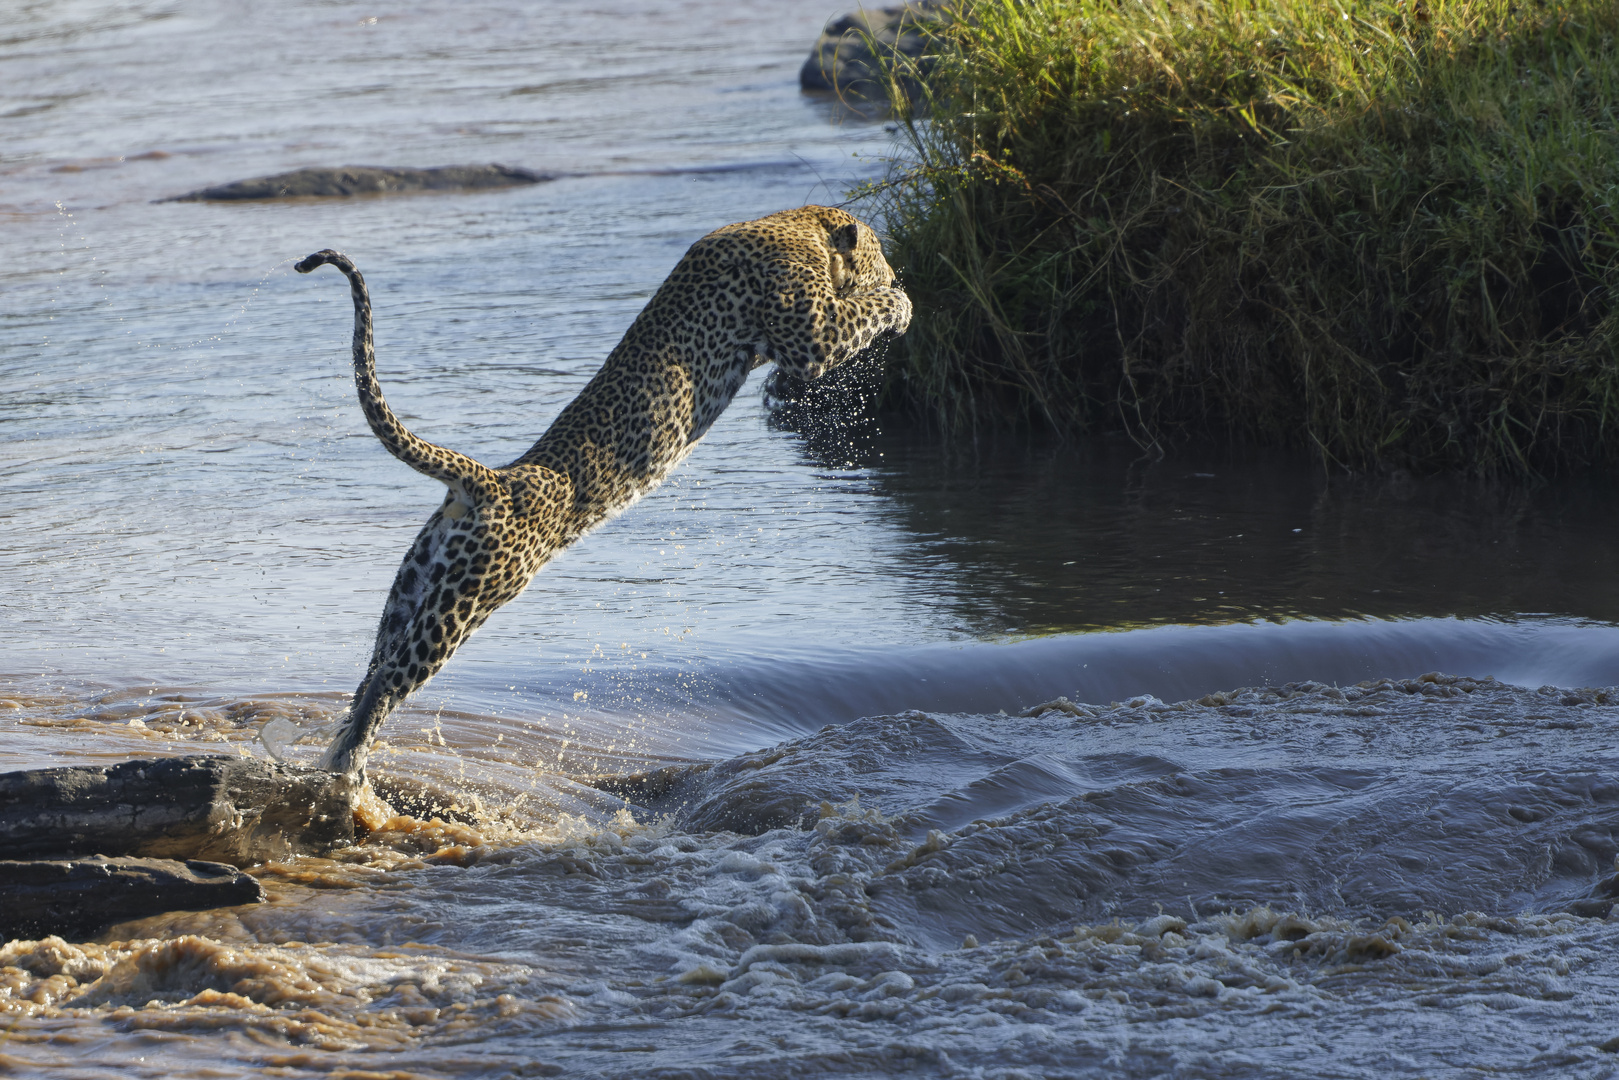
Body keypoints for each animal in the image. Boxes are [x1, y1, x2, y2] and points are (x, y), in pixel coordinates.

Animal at [294, 204, 913, 777]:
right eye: (882, 251)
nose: (894, 268)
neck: (801, 223)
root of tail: (493, 479)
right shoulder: (811, 334)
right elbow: (868, 311)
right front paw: (902, 303)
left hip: (413, 586)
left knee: (368, 675)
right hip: (465, 600)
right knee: (386, 687)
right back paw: (347, 770)